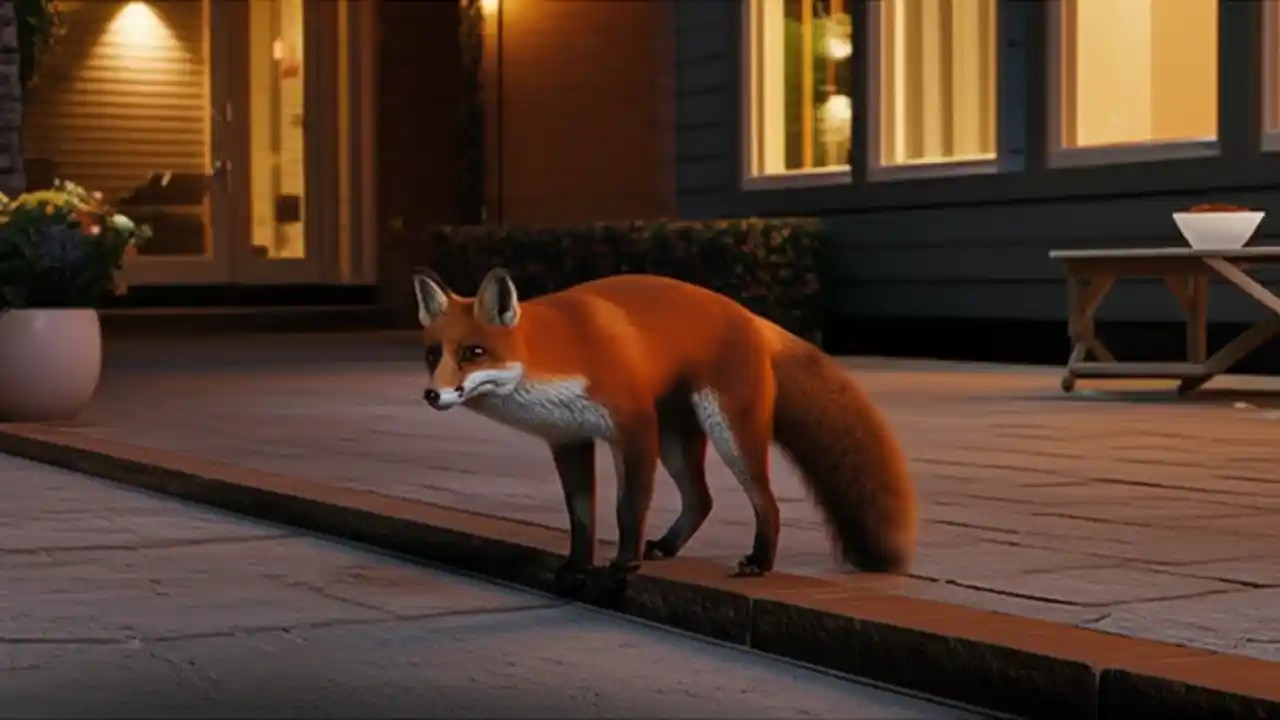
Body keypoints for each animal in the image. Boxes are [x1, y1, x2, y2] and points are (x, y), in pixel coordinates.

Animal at [412, 266, 917, 594]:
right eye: (433, 355)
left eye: (474, 352)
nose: (432, 394)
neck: (554, 354)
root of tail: (750, 317)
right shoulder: (570, 438)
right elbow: (582, 516)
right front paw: (577, 568)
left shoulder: (634, 427)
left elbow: (627, 510)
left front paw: (621, 568)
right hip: (678, 443)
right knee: (702, 499)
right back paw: (669, 547)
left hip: (728, 432)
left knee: (766, 502)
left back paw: (758, 563)